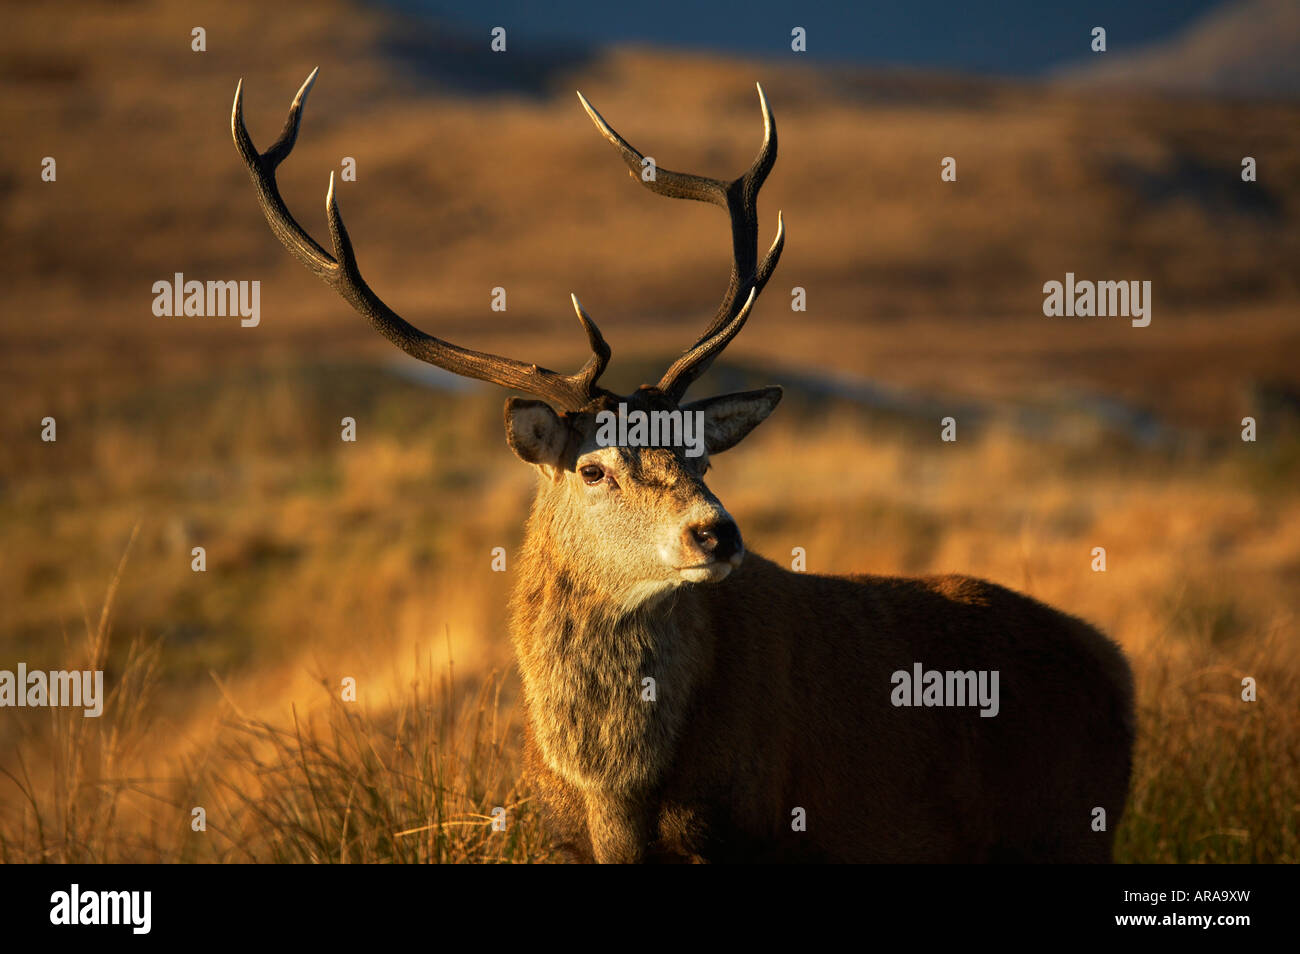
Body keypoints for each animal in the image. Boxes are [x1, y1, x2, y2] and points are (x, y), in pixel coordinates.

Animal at [232, 70, 1136, 863]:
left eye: (697, 450)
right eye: (595, 468)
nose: (718, 533)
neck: (613, 796)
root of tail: (1119, 670)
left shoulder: (756, 833)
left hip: (1067, 829)